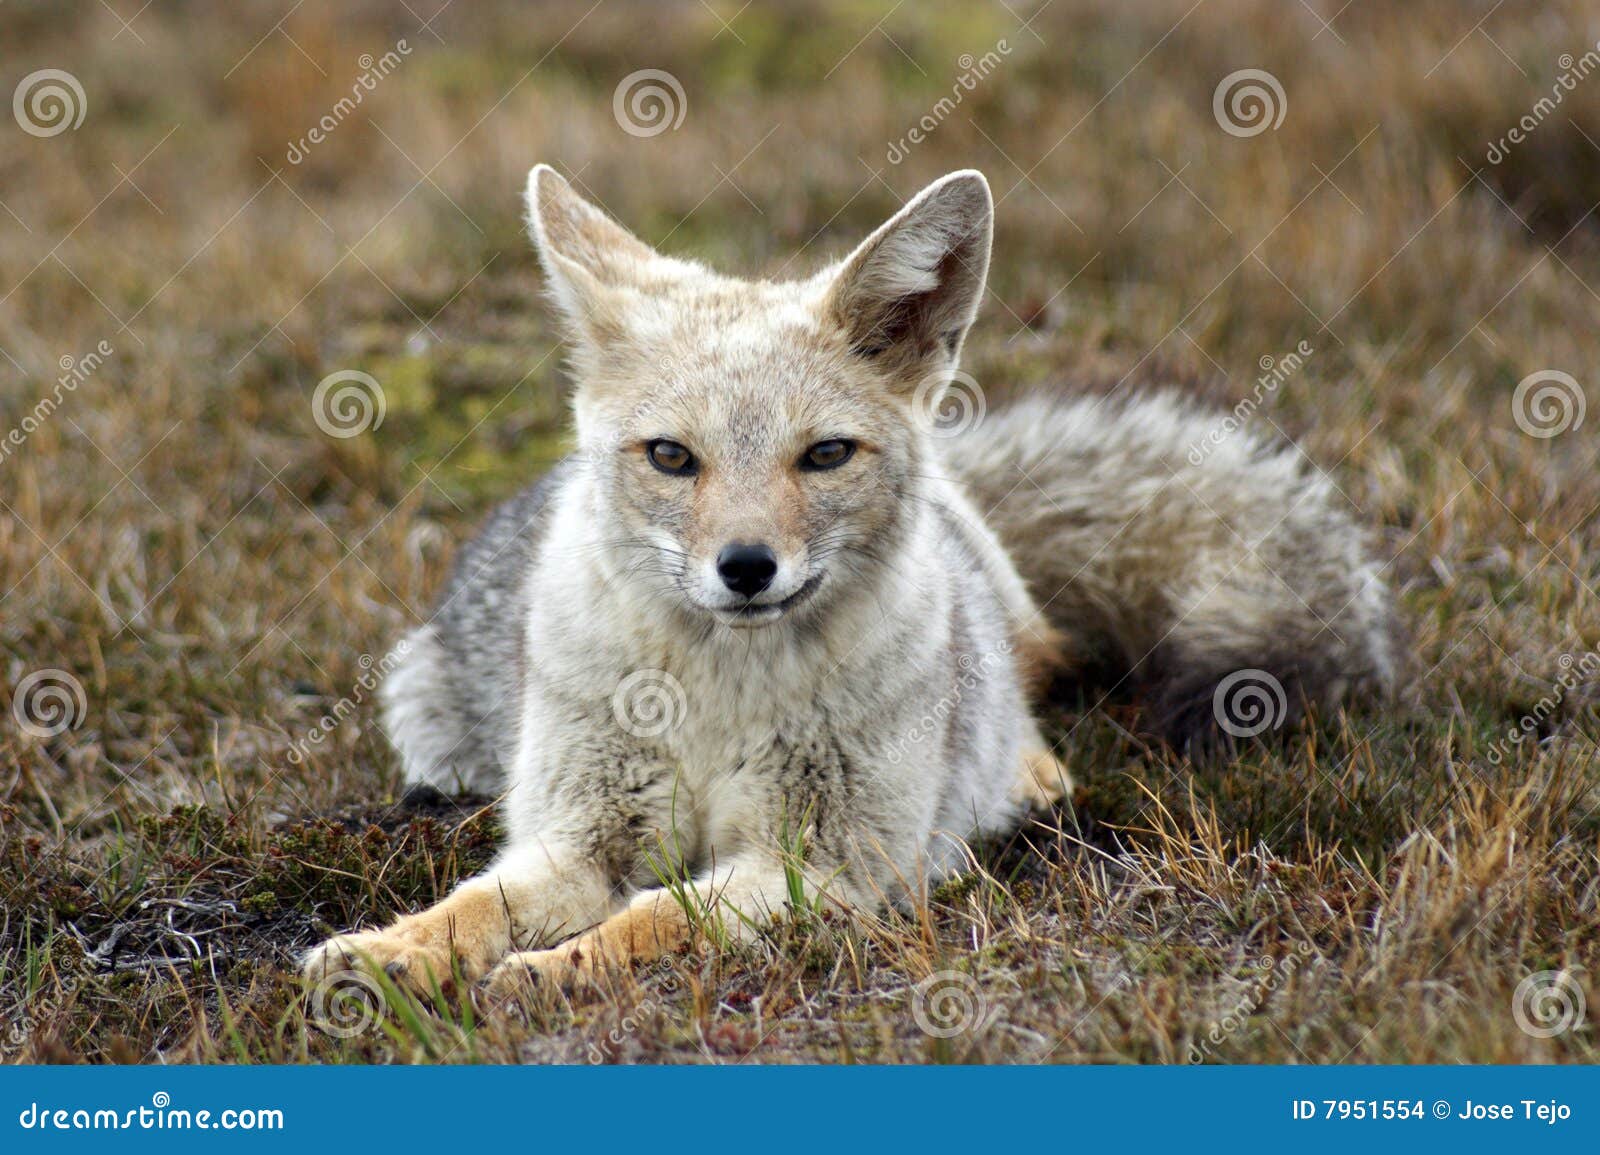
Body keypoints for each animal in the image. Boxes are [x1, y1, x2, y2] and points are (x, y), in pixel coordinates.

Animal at [302, 165, 1397, 997]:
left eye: (824, 455)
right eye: (671, 458)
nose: (746, 569)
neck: (720, 706)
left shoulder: (821, 864)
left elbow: (654, 919)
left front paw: (549, 973)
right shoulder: (574, 839)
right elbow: (473, 905)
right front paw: (387, 953)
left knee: (1034, 692)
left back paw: (1023, 781)